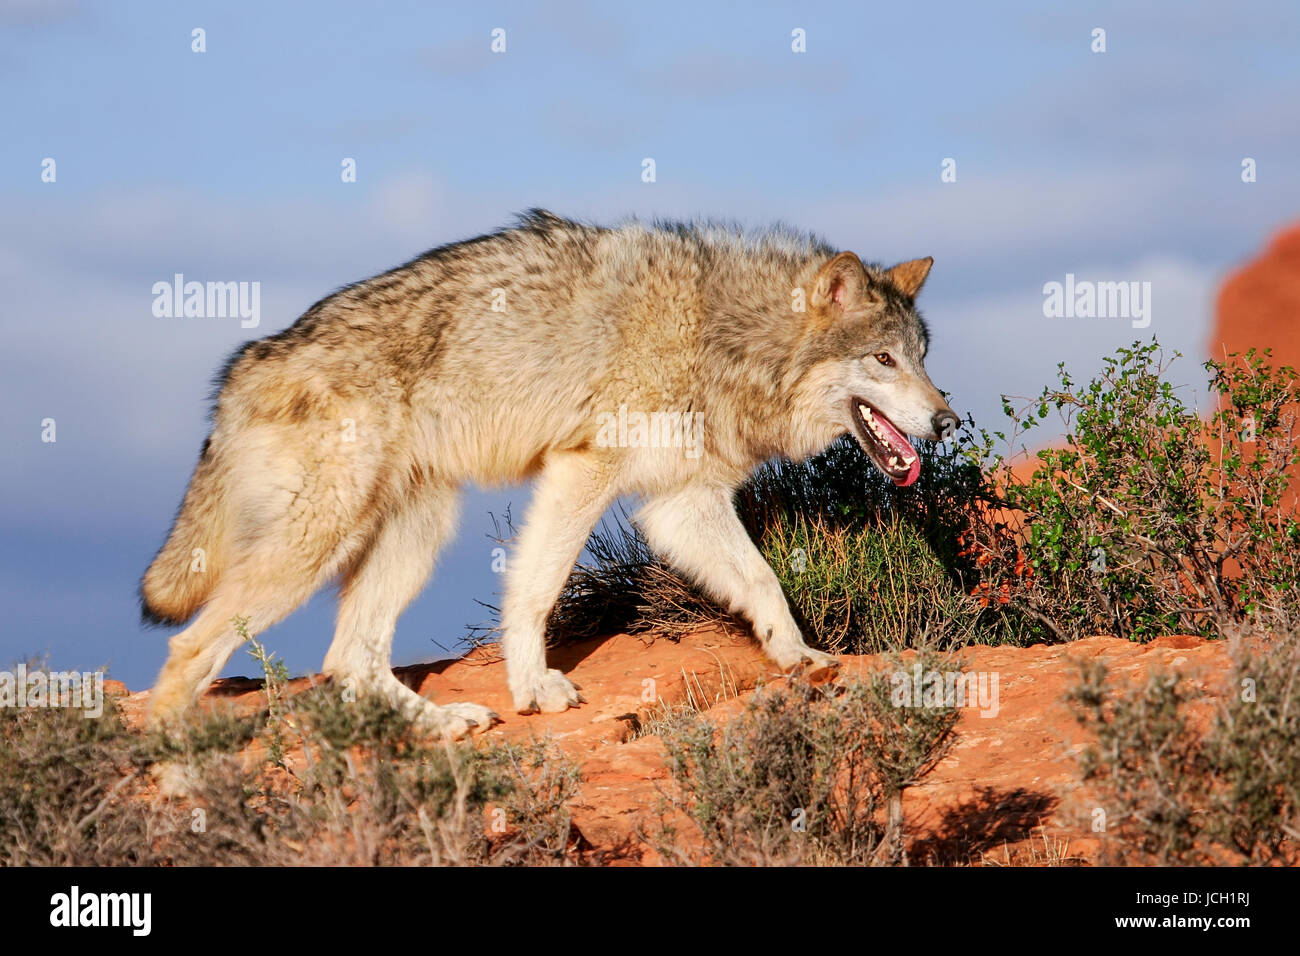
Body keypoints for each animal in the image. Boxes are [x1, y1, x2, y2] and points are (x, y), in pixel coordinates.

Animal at [140, 210, 958, 737]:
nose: (946, 420)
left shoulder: (679, 501)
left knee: (350, 659)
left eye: (922, 358)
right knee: (190, 651)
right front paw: (534, 686)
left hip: (417, 530)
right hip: (318, 547)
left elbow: (762, 581)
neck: (724, 335)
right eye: (884, 360)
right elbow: (536, 589)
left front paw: (798, 656)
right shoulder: (582, 471)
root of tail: (246, 366)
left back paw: (444, 723)